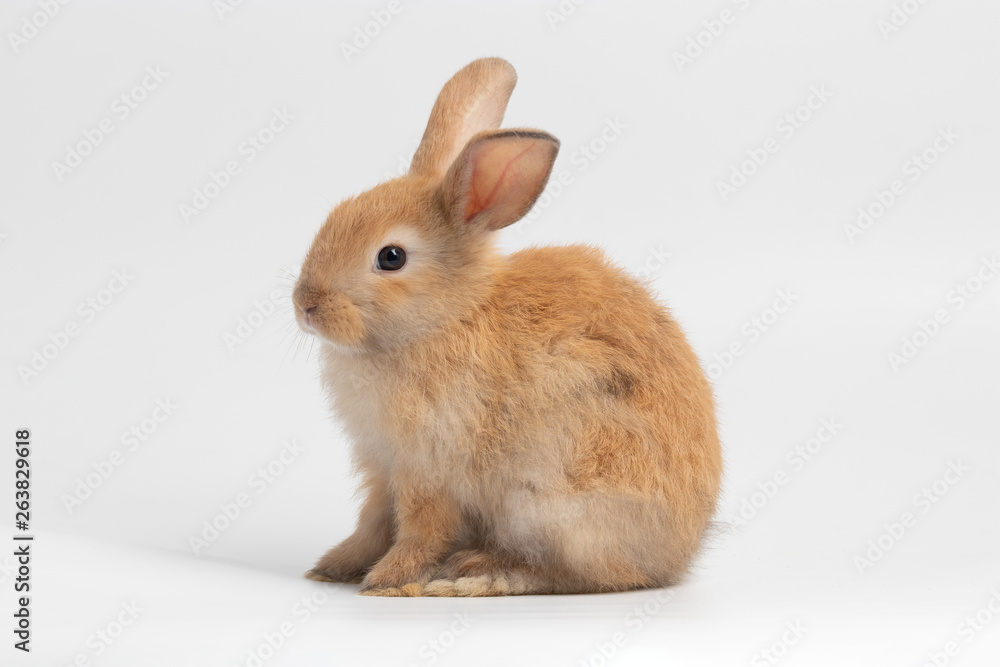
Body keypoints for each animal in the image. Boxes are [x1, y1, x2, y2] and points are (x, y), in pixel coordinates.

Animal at [293, 57, 722, 597]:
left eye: (391, 257)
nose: (305, 304)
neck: (447, 317)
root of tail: (677, 556)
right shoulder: (382, 467)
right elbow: (371, 522)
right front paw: (333, 567)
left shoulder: (429, 468)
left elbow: (420, 529)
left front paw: (388, 582)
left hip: (554, 502)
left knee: (573, 572)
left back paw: (475, 573)